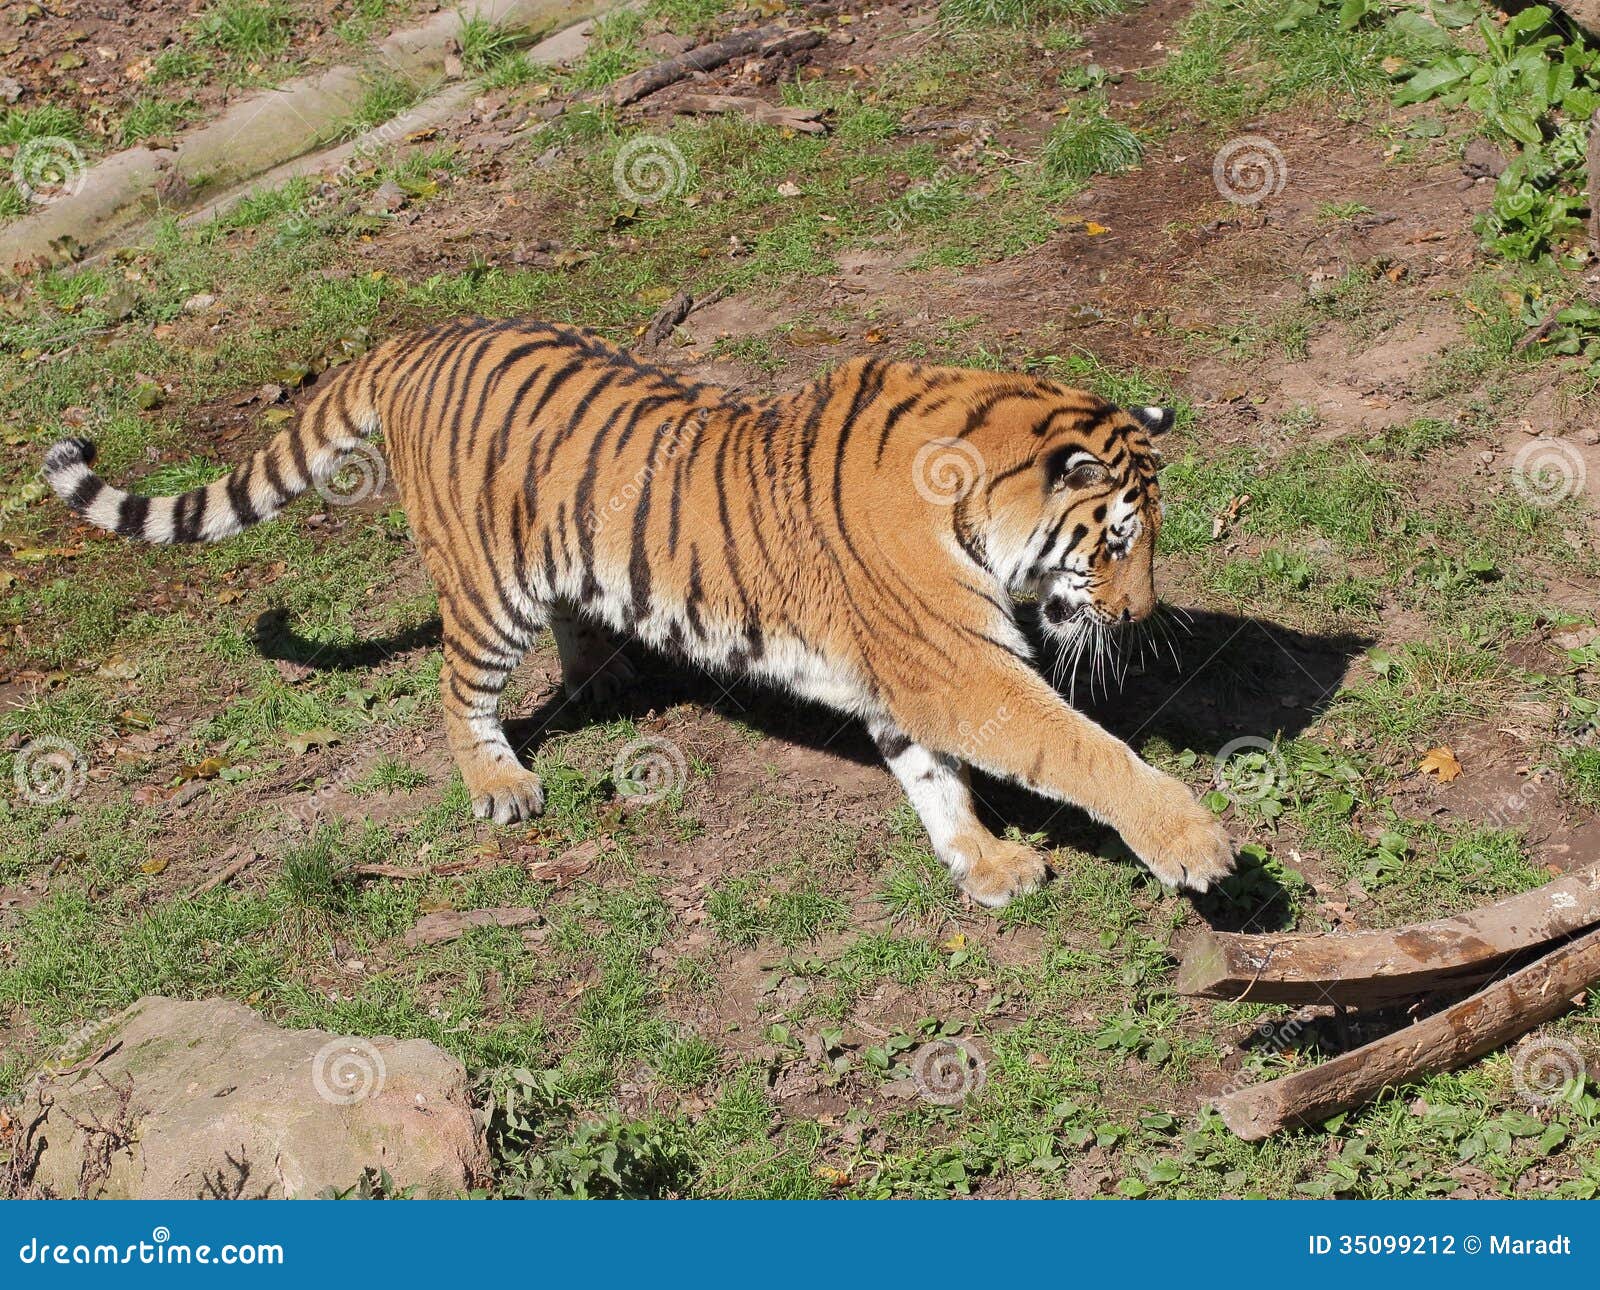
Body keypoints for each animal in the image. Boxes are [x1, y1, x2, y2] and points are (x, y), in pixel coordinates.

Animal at [44, 317, 1235, 908]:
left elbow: (933, 780)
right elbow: (1079, 749)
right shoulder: (956, 668)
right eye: (1119, 541)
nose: (1143, 618)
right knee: (453, 691)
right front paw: (1196, 847)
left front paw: (983, 866)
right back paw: (500, 785)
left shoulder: (904, 679)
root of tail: (414, 339)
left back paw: (611, 672)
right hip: (485, 591)